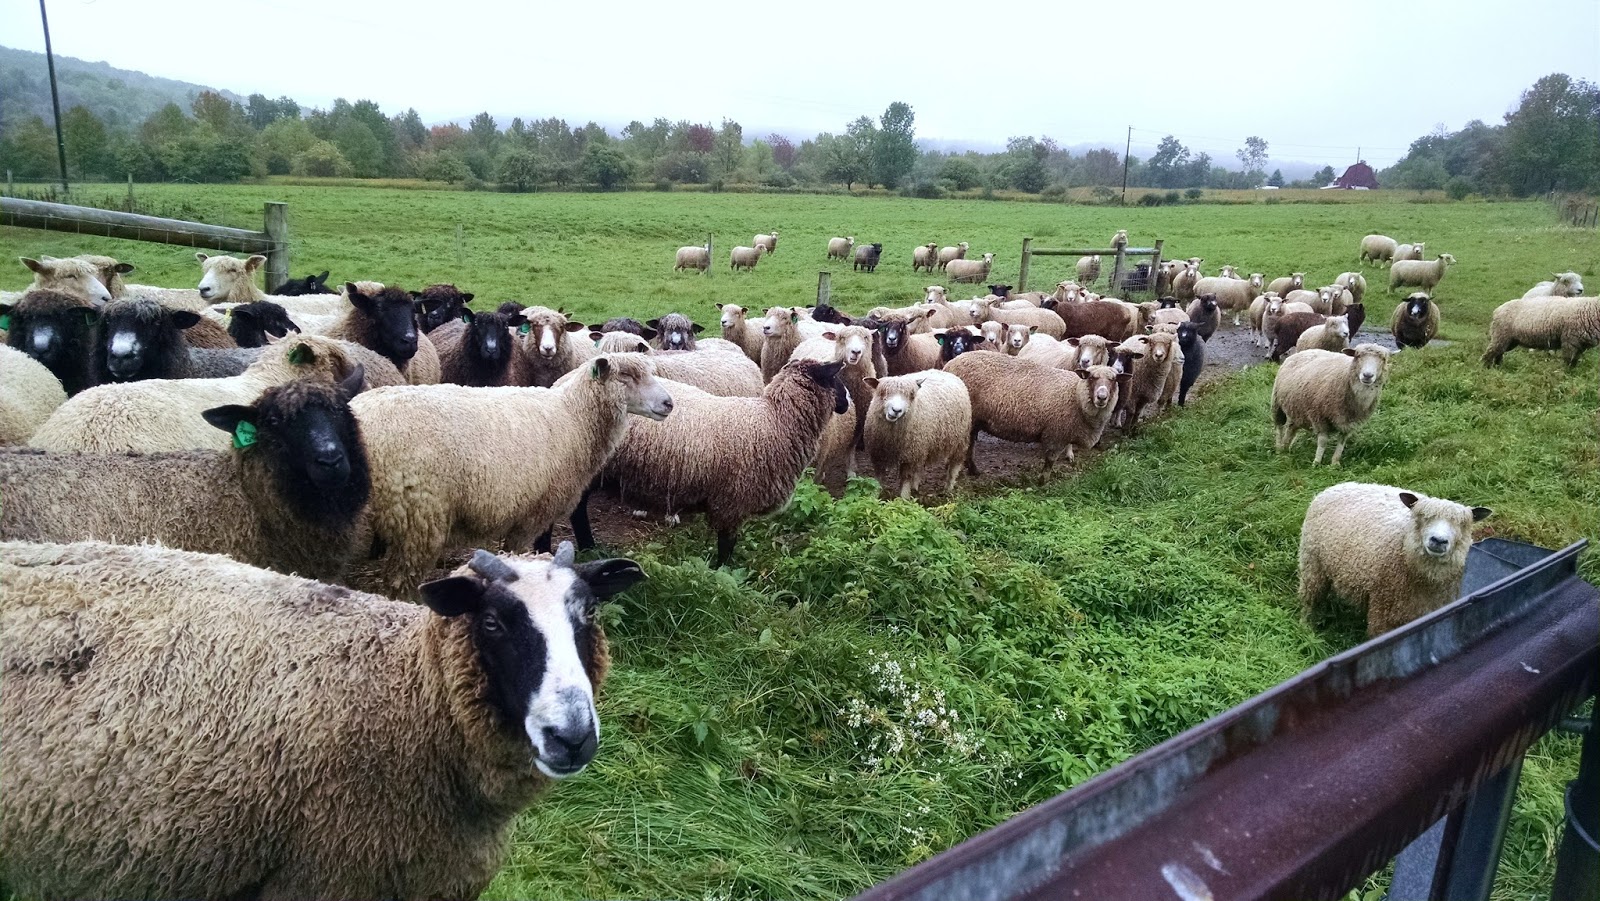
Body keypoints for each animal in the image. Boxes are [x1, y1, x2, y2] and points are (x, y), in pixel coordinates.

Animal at [352, 354, 672, 598]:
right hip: (419, 516)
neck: (573, 417)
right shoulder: (533, 512)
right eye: (626, 376)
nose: (669, 403)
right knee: (399, 581)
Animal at [577, 360, 848, 566]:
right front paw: (723, 574)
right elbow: (726, 546)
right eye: (835, 378)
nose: (847, 403)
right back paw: (587, 547)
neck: (775, 420)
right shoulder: (731, 501)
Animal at [863, 370, 972, 499]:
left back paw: (948, 489)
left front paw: (903, 499)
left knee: (954, 466)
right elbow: (878, 479)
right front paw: (875, 496)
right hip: (923, 445)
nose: (896, 410)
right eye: (883, 392)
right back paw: (915, 487)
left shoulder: (909, 455)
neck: (892, 436)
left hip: (959, 440)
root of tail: (944, 372)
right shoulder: (878, 454)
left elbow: (906, 479)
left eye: (911, 396)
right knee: (919, 467)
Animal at [943, 352, 1127, 472]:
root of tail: (950, 364)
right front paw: (1043, 483)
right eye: (1092, 378)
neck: (1075, 394)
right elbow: (1049, 463)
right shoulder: (1056, 434)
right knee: (969, 444)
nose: (1102, 397)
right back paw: (971, 469)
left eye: (1114, 380)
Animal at [1298, 482, 1491, 636]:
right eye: (1421, 517)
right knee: (1310, 597)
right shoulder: (1383, 609)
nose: (1438, 540)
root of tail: (1337, 485)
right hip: (1312, 563)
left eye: (1463, 524)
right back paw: (1307, 626)